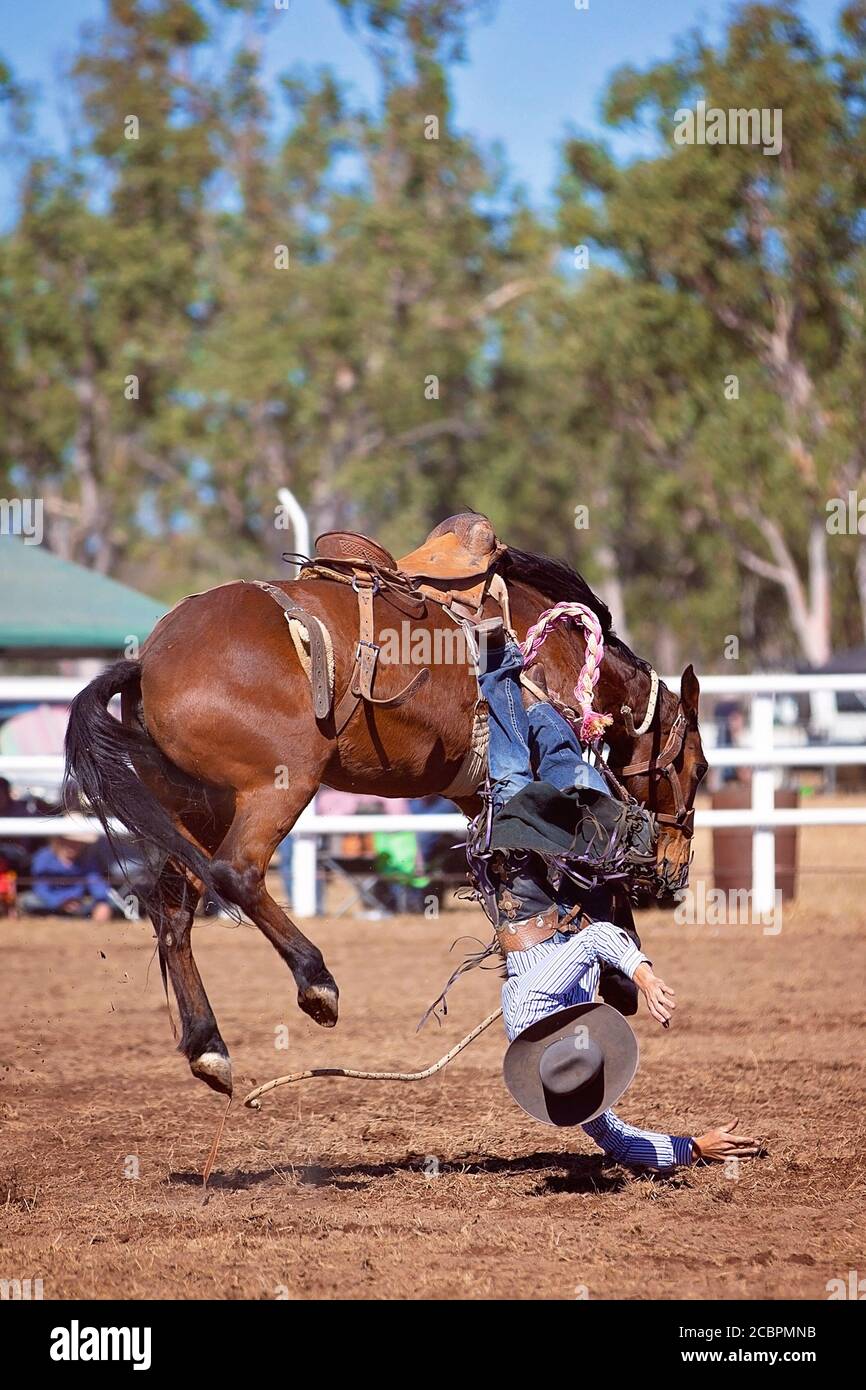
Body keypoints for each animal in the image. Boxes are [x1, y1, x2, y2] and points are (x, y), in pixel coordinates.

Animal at [64, 527, 707, 1098]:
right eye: (699, 770)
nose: (675, 868)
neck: (554, 652)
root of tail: (149, 662)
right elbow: (597, 867)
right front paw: (625, 978)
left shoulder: (483, 793)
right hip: (279, 784)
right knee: (235, 873)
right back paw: (316, 982)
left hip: (198, 805)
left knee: (172, 911)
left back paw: (208, 1047)